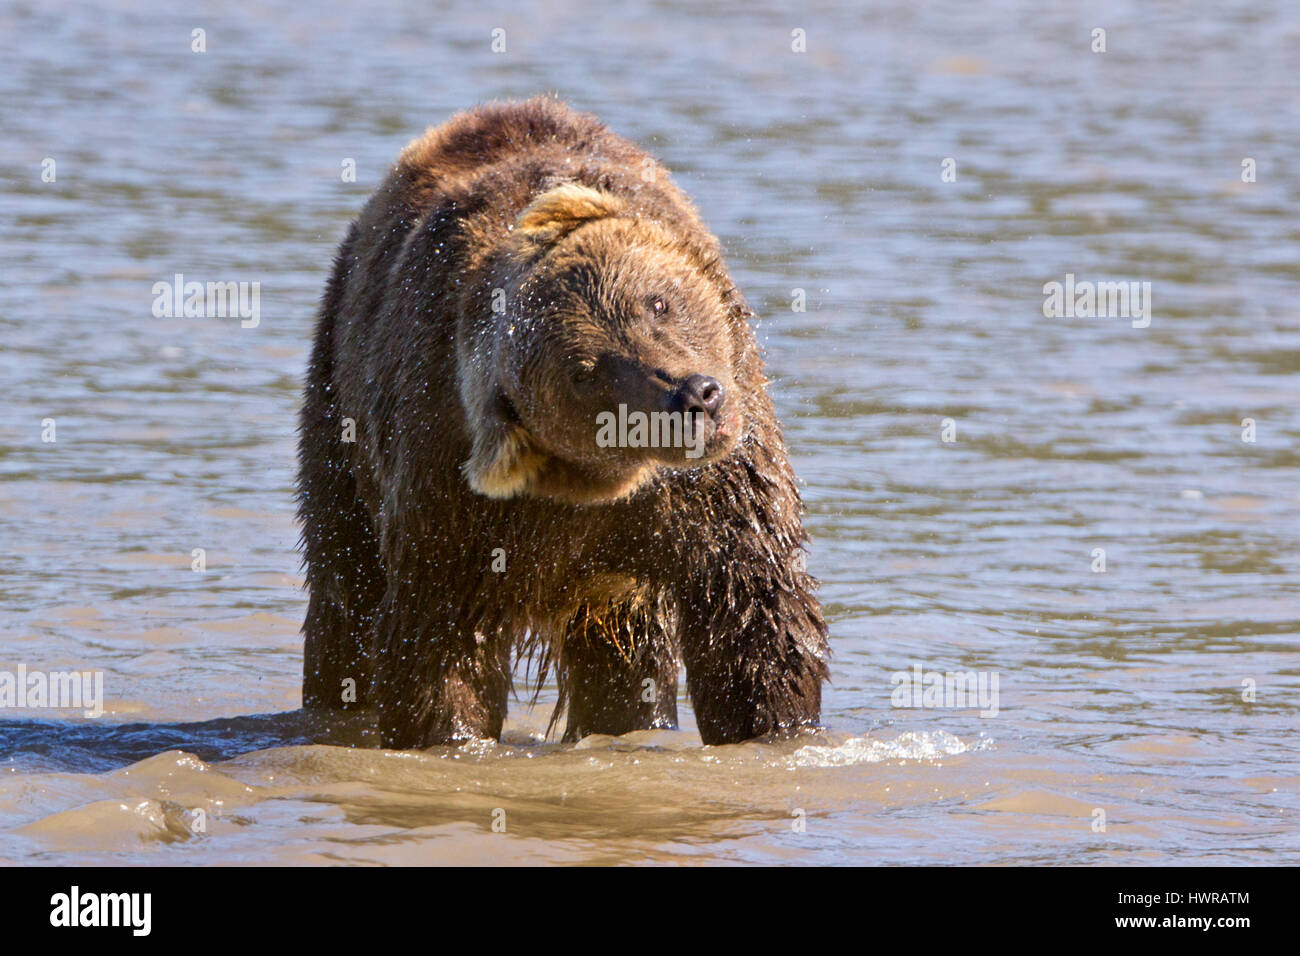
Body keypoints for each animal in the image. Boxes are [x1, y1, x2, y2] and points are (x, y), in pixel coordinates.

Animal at [297, 96, 829, 749]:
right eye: (585, 373)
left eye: (656, 302)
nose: (696, 397)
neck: (607, 485)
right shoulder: (453, 492)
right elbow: (441, 637)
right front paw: (450, 736)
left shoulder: (713, 489)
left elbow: (754, 608)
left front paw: (776, 725)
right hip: (337, 408)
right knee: (344, 583)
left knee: (624, 654)